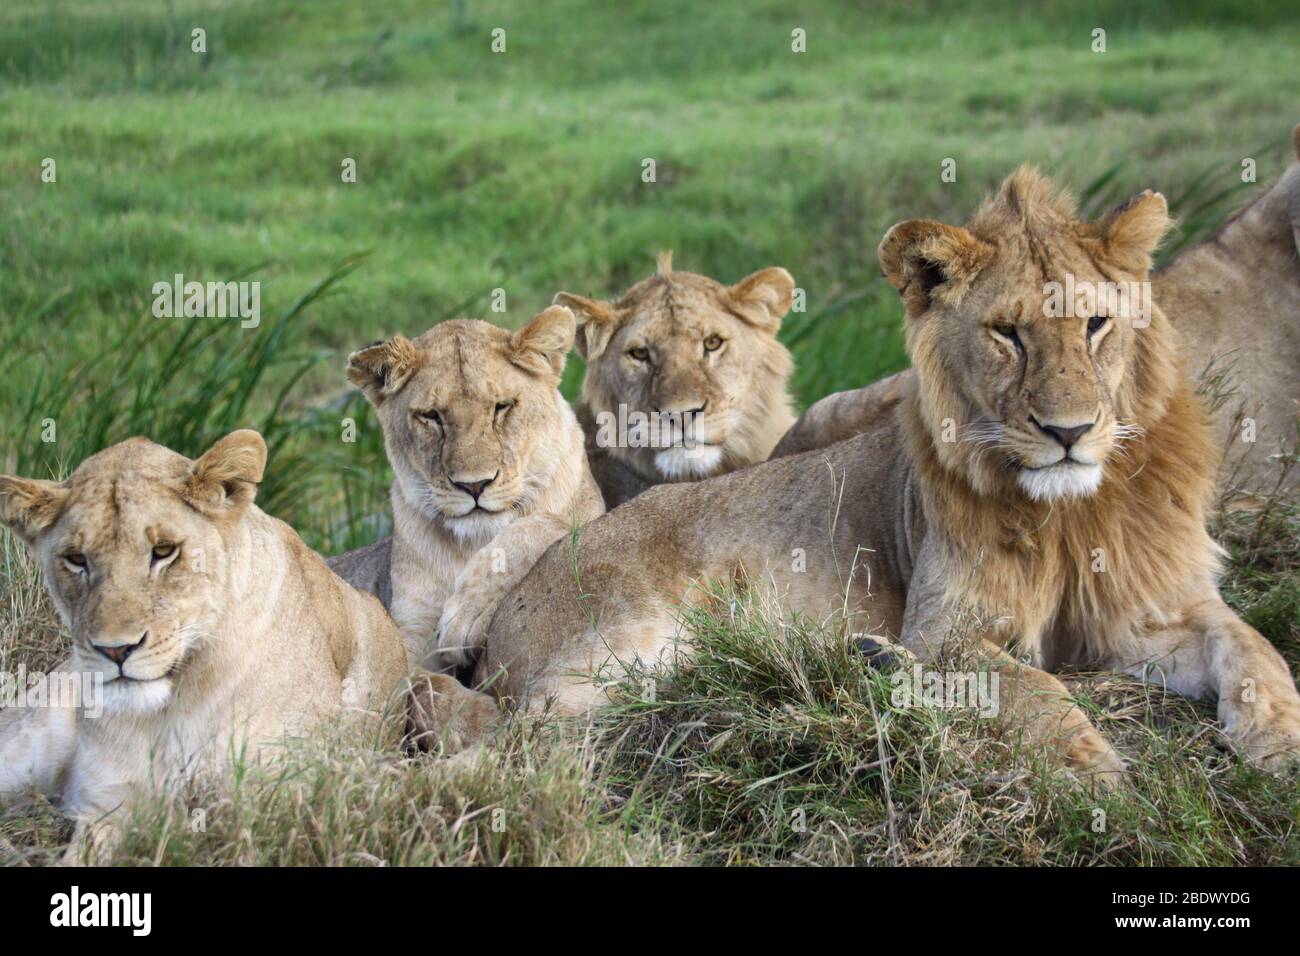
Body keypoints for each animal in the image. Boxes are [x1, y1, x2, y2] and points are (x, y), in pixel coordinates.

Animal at [0, 430, 483, 862]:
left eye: (164, 551)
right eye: (75, 560)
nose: (115, 651)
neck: (172, 706)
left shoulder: (276, 801)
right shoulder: (107, 807)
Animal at [327, 306, 605, 673]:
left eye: (502, 406)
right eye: (430, 416)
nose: (474, 484)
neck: (472, 544)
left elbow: (542, 524)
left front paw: (467, 615)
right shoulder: (412, 632)